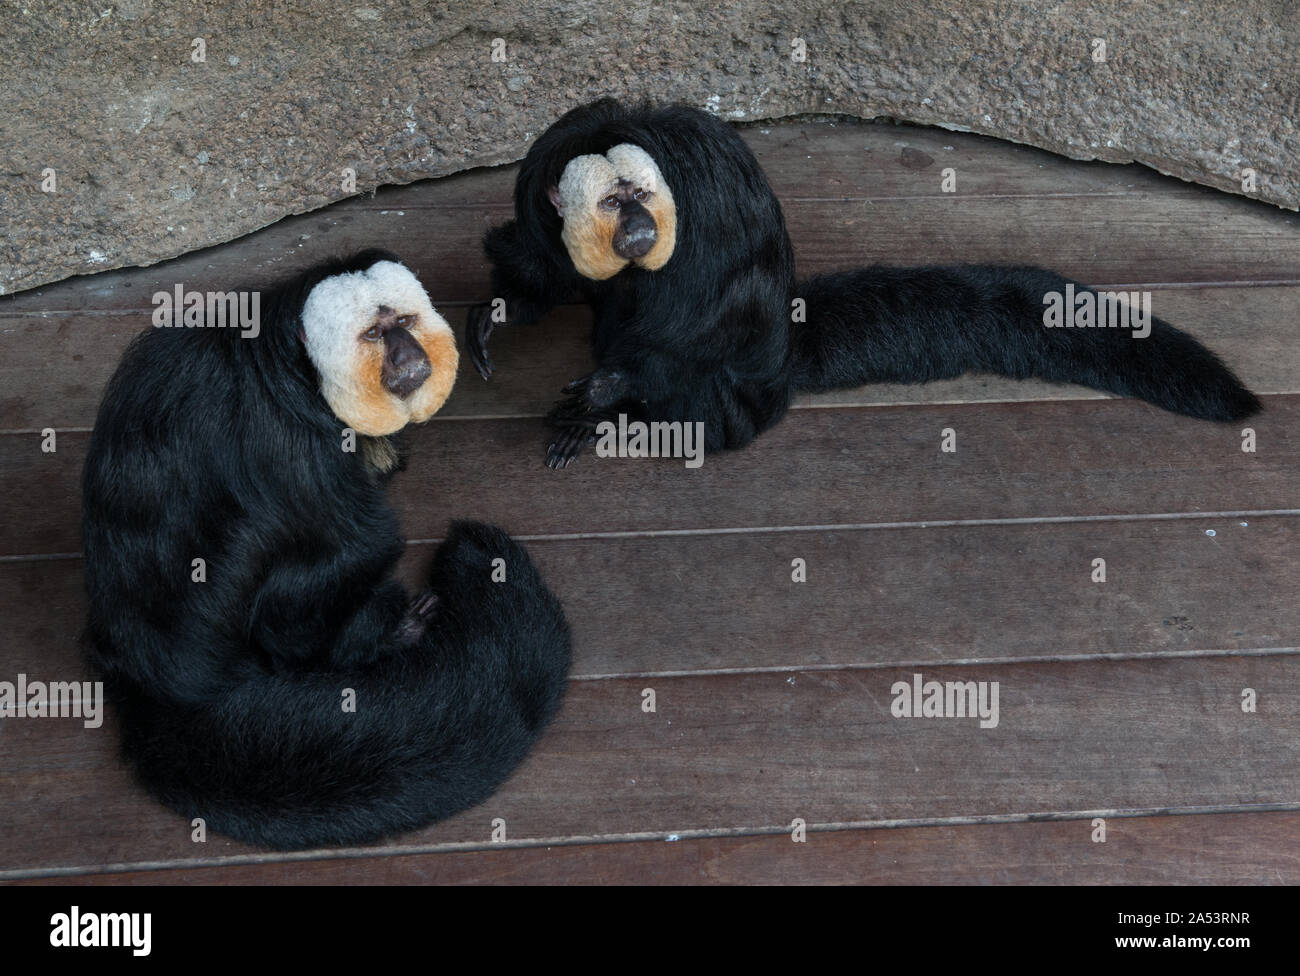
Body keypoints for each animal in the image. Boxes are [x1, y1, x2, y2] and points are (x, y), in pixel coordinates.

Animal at [81, 249, 571, 850]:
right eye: (374, 334)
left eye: (404, 323)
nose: (408, 355)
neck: (294, 369)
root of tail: (150, 684)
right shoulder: (291, 437)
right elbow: (360, 543)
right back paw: (379, 633)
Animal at [466, 99, 1261, 468]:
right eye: (610, 202)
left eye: (637, 193)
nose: (635, 224)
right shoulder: (540, 195)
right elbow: (548, 267)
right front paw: (500, 310)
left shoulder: (708, 202)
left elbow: (707, 327)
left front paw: (610, 389)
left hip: (736, 410)